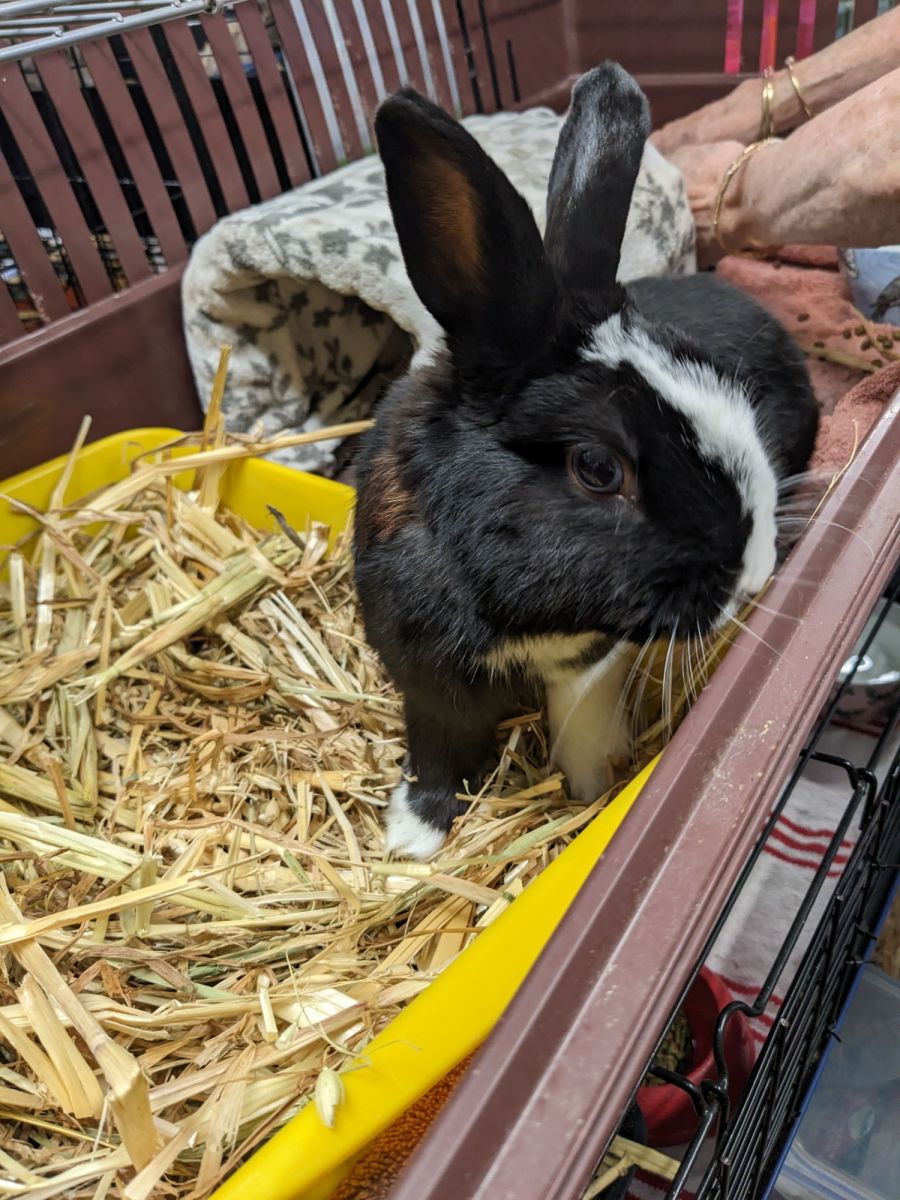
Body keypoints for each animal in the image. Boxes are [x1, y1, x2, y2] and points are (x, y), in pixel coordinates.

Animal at [353, 63, 819, 860]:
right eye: (598, 469)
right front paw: (412, 839)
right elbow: (441, 746)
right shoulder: (426, 672)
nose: (755, 575)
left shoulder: (590, 665)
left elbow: (582, 726)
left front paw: (592, 794)